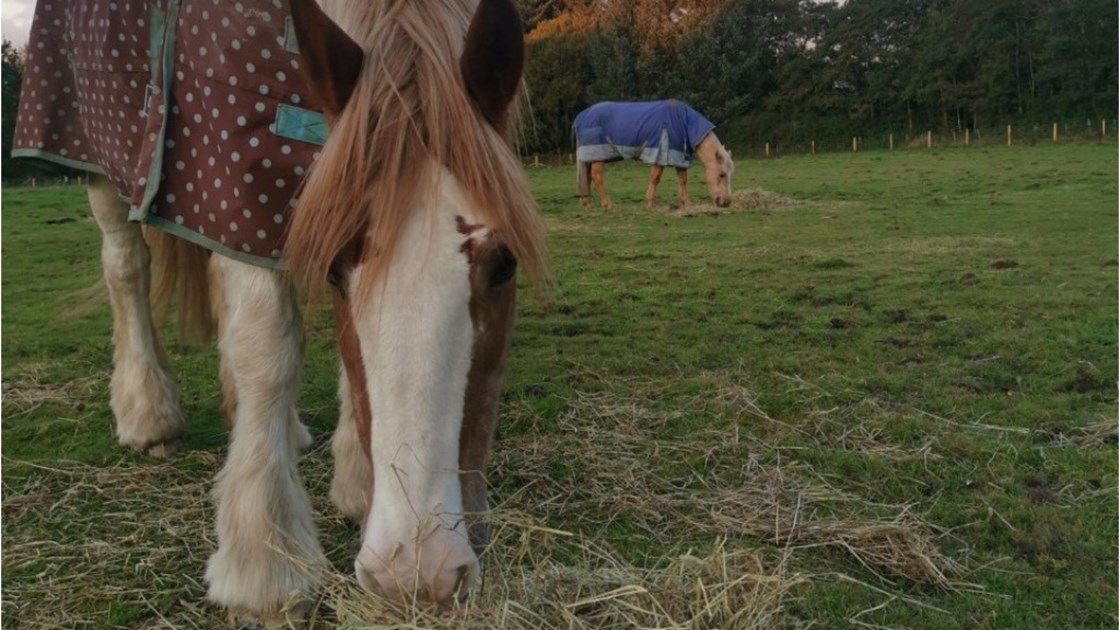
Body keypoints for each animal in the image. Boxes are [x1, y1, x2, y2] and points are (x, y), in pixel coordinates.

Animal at [12, 0, 547, 622]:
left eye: (504, 265)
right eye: (334, 270)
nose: (419, 571)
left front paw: (358, 483)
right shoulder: (238, 179)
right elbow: (270, 349)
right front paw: (265, 566)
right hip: (100, 155)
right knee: (126, 266)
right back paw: (149, 414)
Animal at [573, 100, 734, 210]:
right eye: (721, 174)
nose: (726, 202)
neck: (684, 122)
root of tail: (582, 116)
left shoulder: (680, 159)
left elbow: (682, 180)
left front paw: (686, 203)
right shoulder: (661, 156)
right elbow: (655, 178)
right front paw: (650, 203)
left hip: (590, 158)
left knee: (586, 178)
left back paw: (587, 202)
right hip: (598, 157)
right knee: (597, 178)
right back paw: (607, 204)